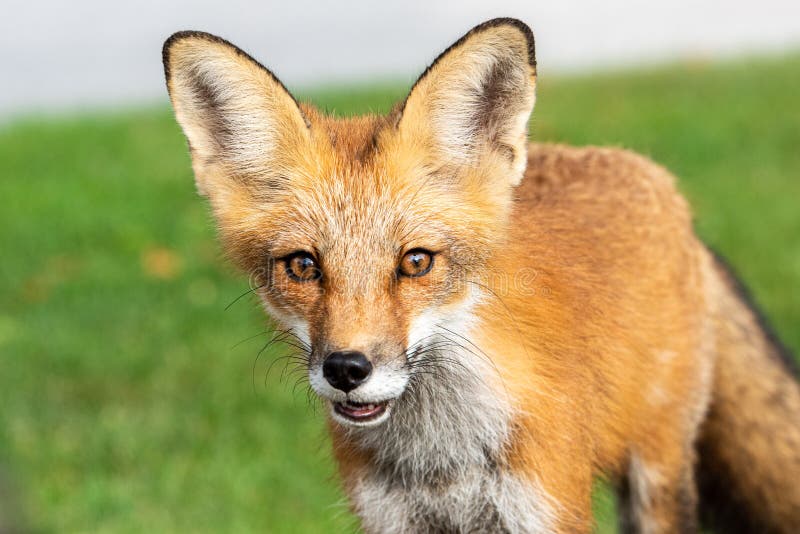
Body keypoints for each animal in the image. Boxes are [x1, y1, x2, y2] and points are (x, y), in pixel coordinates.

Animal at [162, 18, 800, 533]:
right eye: (302, 265)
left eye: (416, 261)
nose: (346, 369)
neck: (443, 461)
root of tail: (658, 182)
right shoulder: (393, 519)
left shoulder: (547, 506)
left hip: (657, 472)